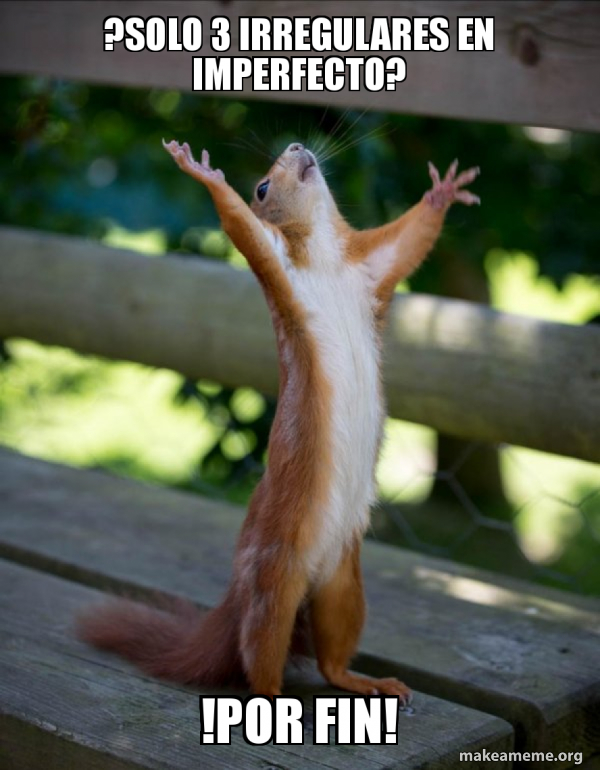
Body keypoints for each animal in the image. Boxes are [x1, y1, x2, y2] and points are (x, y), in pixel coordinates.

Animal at [77, 139, 479, 704]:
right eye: (262, 187)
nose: (296, 146)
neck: (327, 258)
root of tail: (238, 595)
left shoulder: (372, 267)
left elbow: (410, 239)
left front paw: (442, 192)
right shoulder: (277, 264)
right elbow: (240, 226)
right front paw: (203, 173)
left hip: (344, 586)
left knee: (332, 657)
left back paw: (367, 681)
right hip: (273, 583)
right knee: (258, 657)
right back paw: (274, 697)